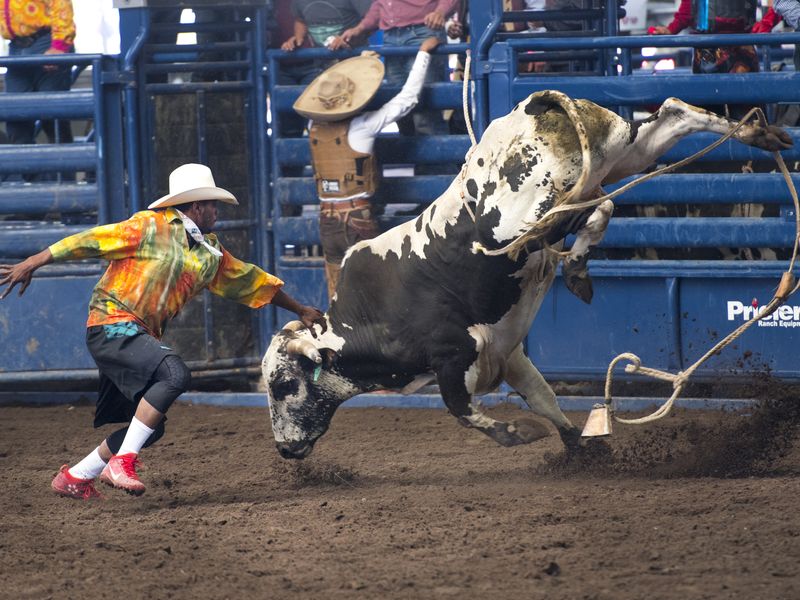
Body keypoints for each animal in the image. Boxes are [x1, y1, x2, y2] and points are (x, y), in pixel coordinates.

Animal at [262, 90, 792, 459]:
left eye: (284, 385)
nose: (284, 450)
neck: (370, 316)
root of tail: (533, 105)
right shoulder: (507, 352)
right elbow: (545, 399)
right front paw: (584, 451)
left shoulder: (454, 354)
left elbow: (463, 411)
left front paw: (519, 434)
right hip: (623, 152)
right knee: (671, 115)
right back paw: (755, 133)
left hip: (528, 219)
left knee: (588, 211)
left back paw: (576, 265)